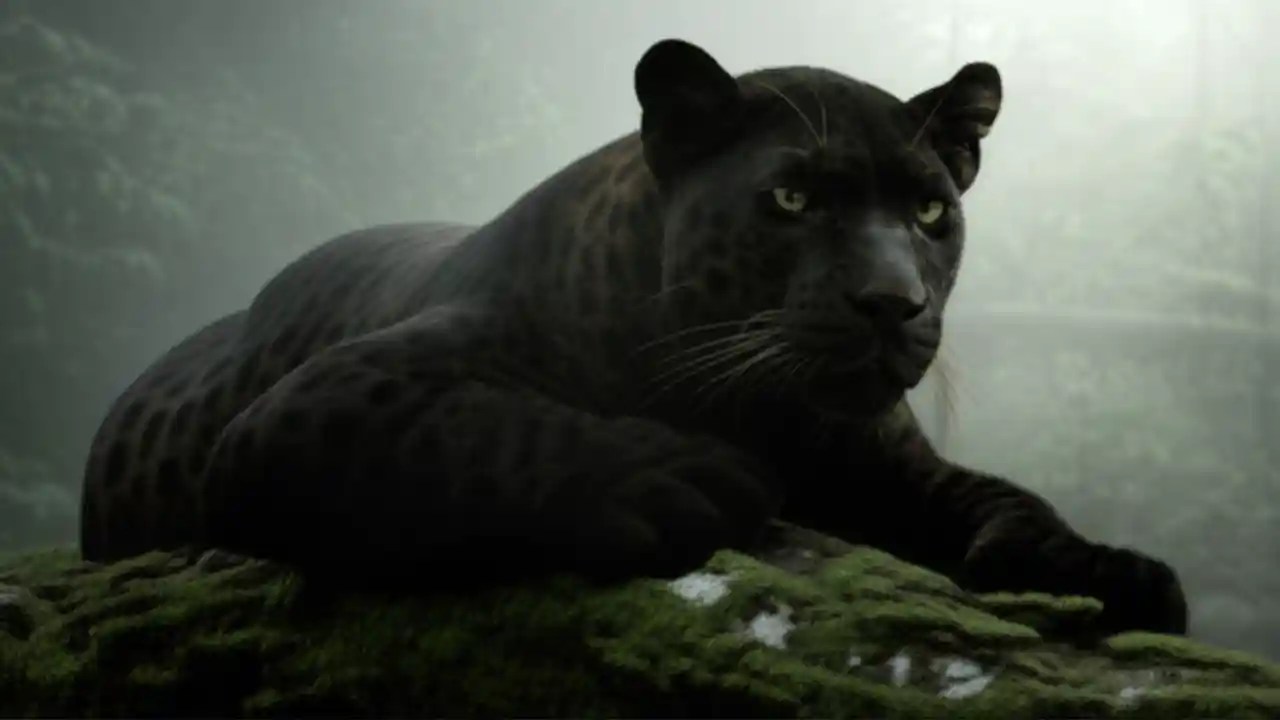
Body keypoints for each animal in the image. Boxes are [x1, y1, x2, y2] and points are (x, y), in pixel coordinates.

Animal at [79, 38, 1187, 636]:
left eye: (928, 211)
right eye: (791, 198)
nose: (892, 303)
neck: (757, 412)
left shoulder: (887, 464)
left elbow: (1002, 495)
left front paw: (1101, 568)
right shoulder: (320, 400)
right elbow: (484, 424)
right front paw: (678, 477)